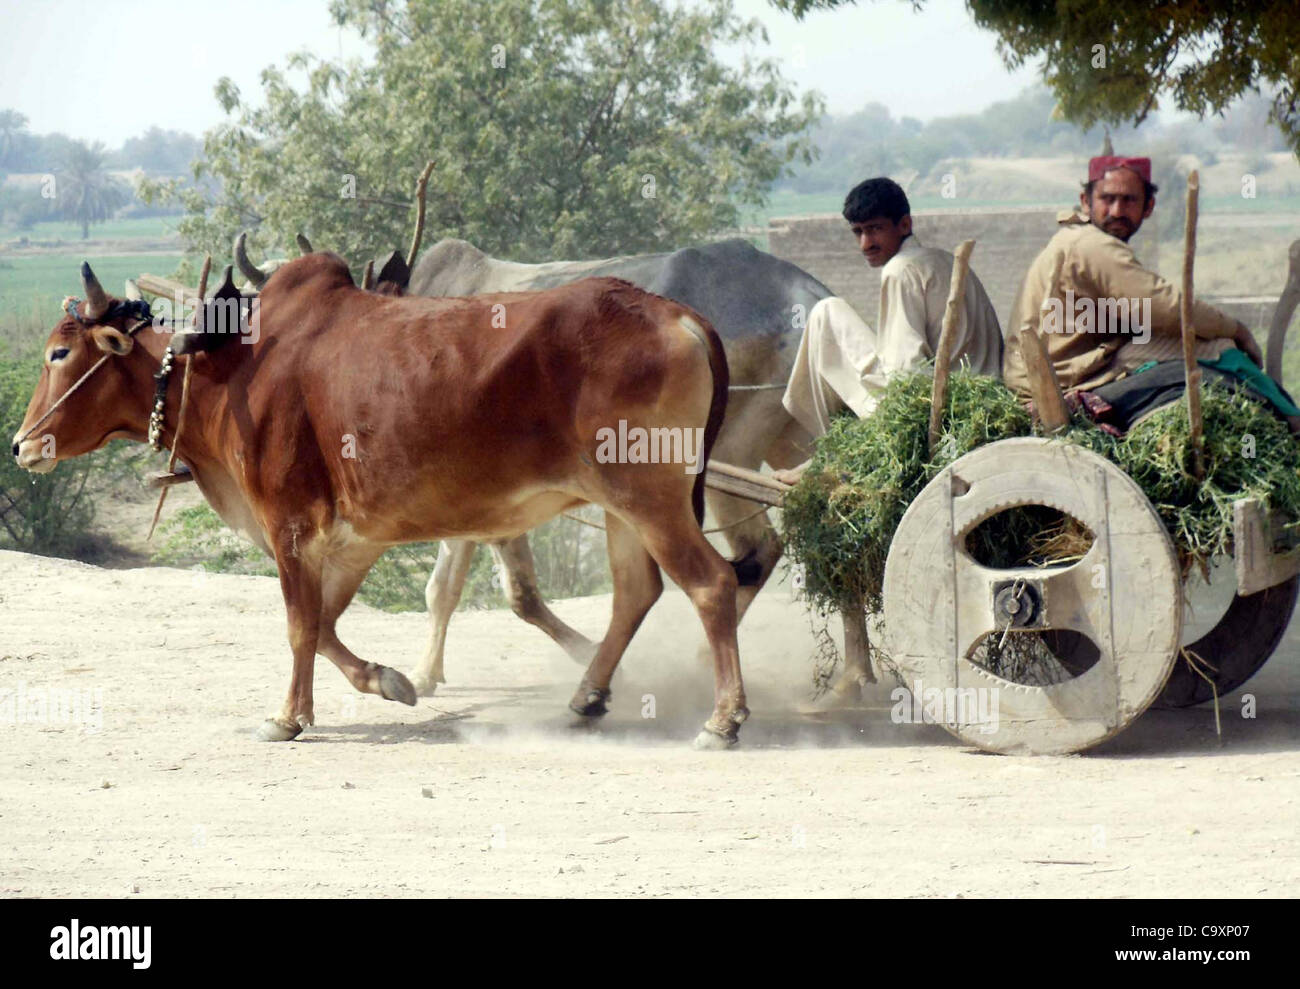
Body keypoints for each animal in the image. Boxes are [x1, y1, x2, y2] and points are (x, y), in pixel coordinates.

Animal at [11, 259, 750, 747]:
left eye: (59, 352)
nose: (21, 445)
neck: (230, 371)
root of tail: (680, 315)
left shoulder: (289, 525)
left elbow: (300, 624)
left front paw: (288, 716)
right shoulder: (354, 536)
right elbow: (324, 623)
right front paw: (389, 680)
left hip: (650, 497)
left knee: (712, 583)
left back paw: (723, 718)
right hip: (625, 507)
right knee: (637, 592)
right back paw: (589, 693)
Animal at [278, 237, 851, 697]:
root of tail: (810, 296)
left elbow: (476, 591)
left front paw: (422, 675)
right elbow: (494, 591)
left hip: (725, 455)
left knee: (756, 552)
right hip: (796, 439)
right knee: (833, 531)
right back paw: (853, 677)